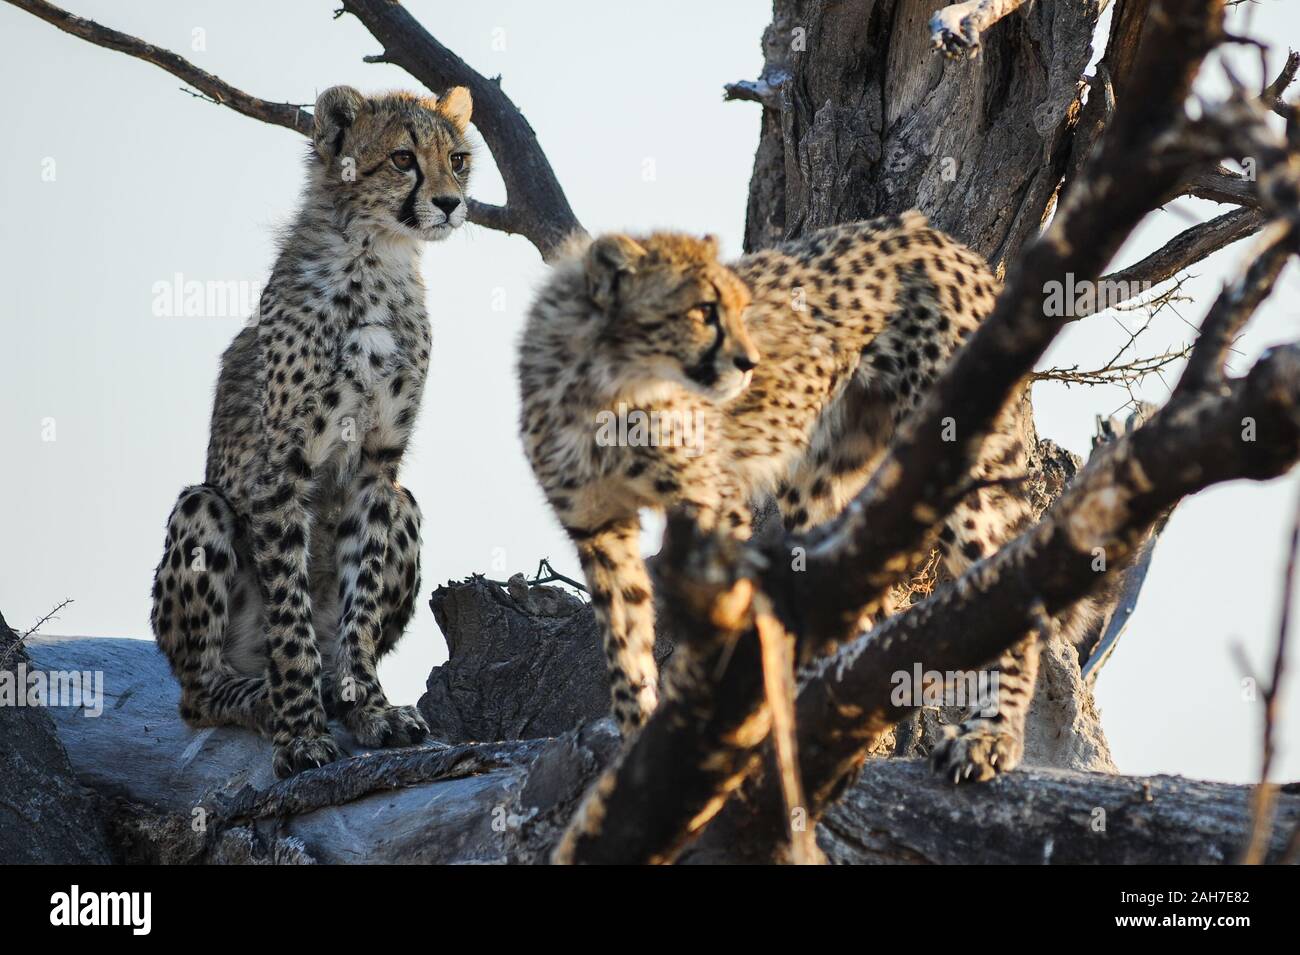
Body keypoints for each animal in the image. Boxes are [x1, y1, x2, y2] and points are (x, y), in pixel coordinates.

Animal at [150, 85, 474, 778]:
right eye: (403, 158)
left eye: (458, 160)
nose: (449, 202)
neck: (378, 257)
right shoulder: (285, 466)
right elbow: (290, 613)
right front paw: (299, 730)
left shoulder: (380, 466)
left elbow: (360, 603)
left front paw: (368, 707)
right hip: (202, 508)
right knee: (195, 693)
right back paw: (258, 696)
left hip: (406, 502)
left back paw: (330, 690)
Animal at [518, 212, 1080, 784]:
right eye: (703, 310)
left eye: (739, 307)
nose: (750, 362)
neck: (607, 389)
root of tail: (941, 239)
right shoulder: (599, 526)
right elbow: (624, 641)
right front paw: (635, 743)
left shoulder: (714, 501)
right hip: (822, 477)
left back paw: (988, 735)